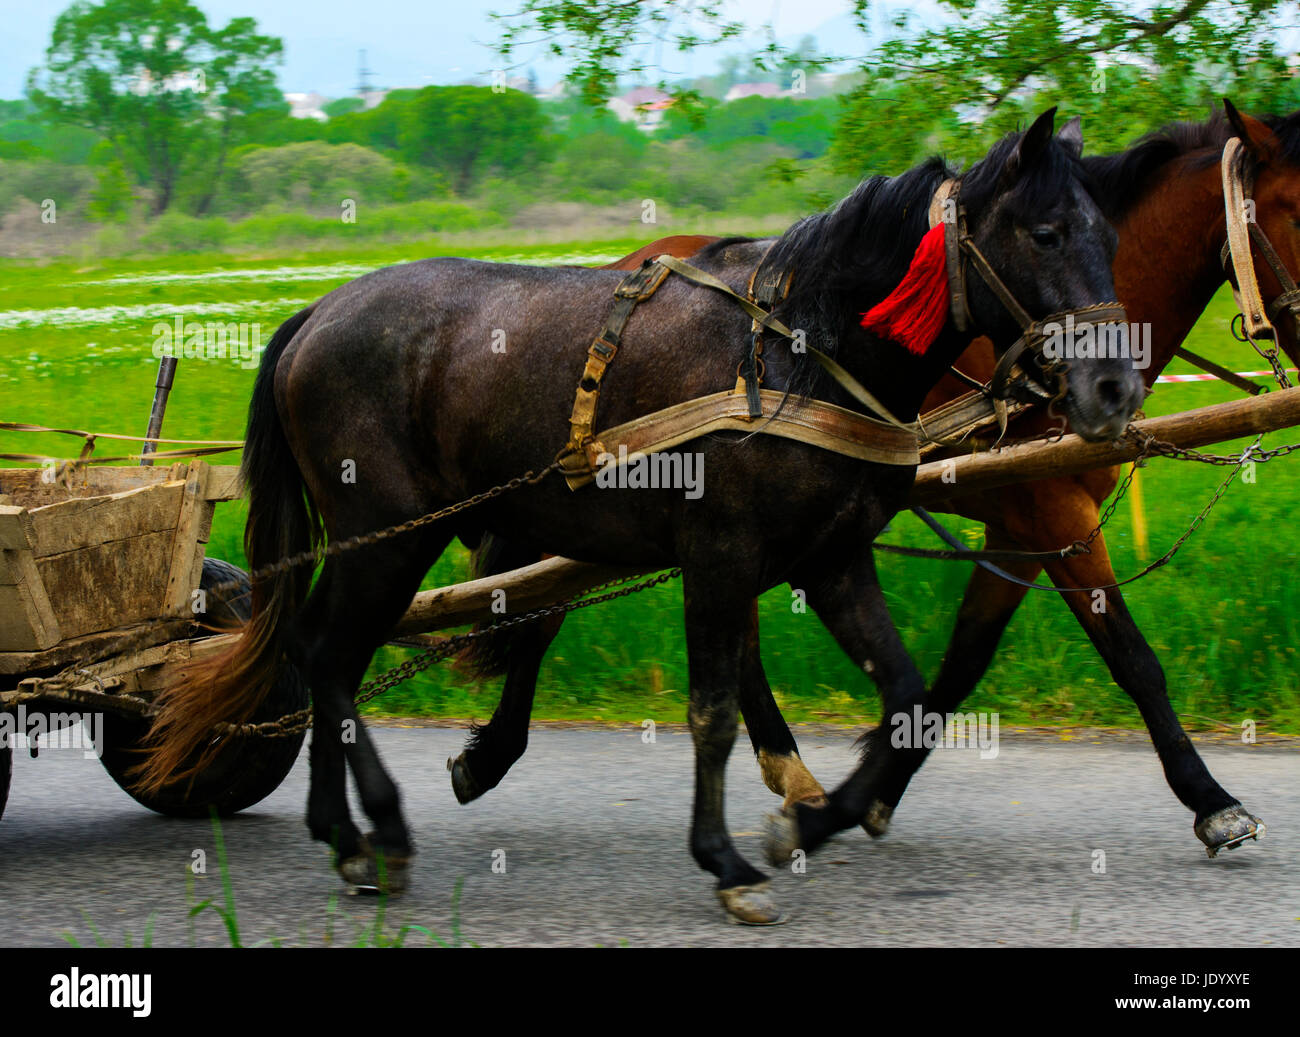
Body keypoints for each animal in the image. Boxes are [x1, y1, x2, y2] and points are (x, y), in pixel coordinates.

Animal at [139, 108, 1144, 924]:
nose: (1115, 387)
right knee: (325, 657)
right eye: (1047, 230)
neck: (796, 354)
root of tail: (315, 314)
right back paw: (375, 828)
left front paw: (806, 824)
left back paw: (344, 837)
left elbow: (902, 697)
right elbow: (713, 713)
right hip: (385, 539)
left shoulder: (831, 559)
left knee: (325, 656)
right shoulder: (721, 558)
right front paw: (729, 860)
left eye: (1107, 230)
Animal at [449, 101, 1299, 866]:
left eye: (1110, 239)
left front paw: (876, 790)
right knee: (559, 612)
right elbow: (1131, 657)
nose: (1111, 391)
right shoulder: (1050, 513)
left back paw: (784, 772)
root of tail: (624, 267)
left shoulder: (1021, 531)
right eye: (1296, 212)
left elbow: (960, 665)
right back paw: (502, 754)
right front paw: (1213, 801)